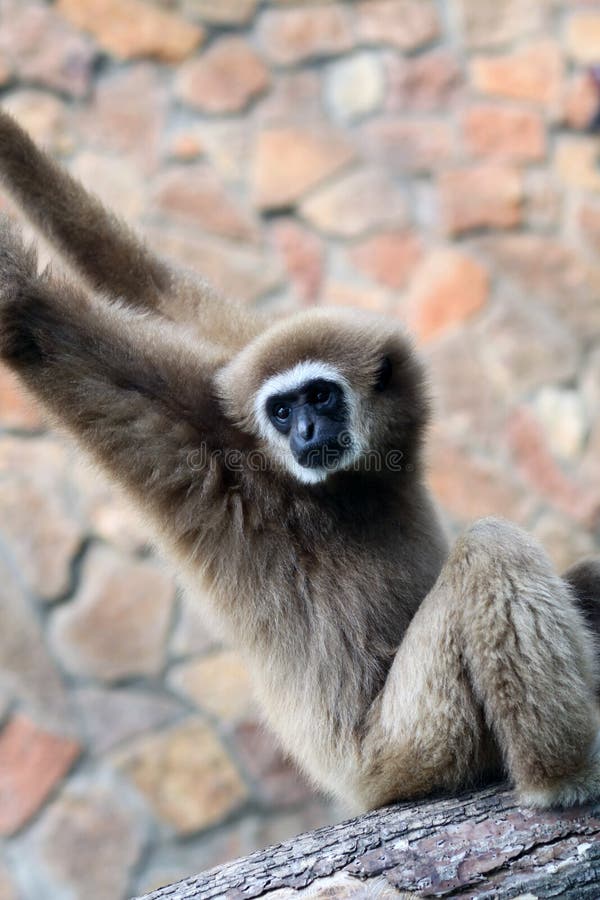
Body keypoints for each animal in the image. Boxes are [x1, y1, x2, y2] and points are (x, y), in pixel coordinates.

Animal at [0, 109, 600, 812]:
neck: (338, 489)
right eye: (282, 412)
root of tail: (351, 784)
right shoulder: (220, 454)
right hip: (410, 743)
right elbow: (34, 319)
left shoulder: (232, 377)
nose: (307, 429)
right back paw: (561, 780)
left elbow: (153, 285)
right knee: (491, 550)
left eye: (318, 396)